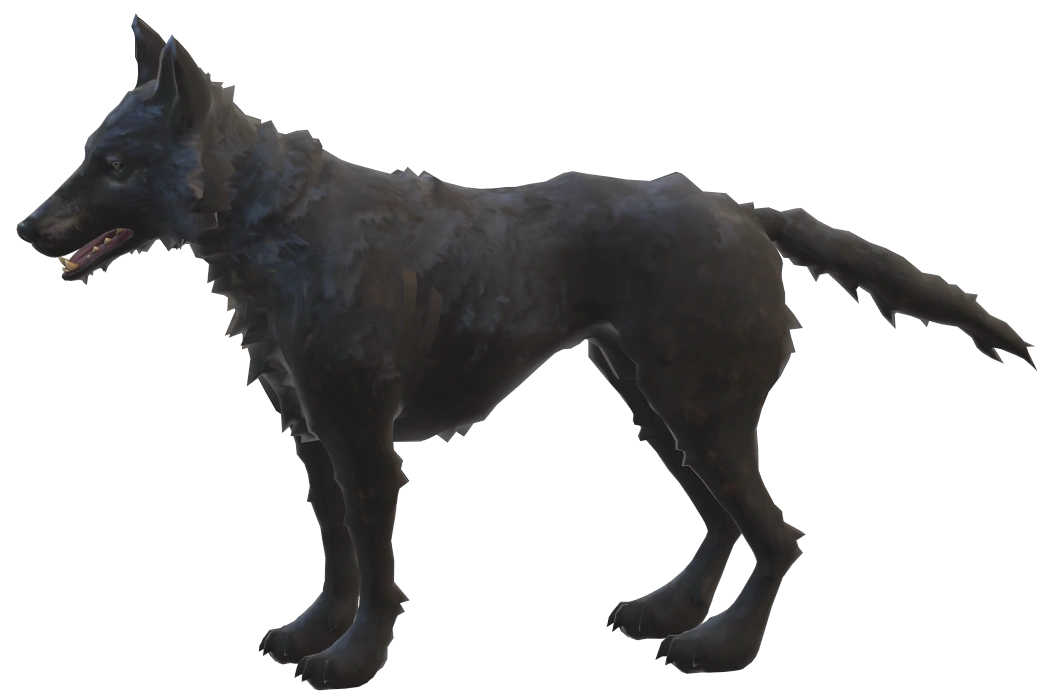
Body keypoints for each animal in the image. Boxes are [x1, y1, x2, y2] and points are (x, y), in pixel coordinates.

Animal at [16, 16, 1035, 689]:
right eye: (92, 152)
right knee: (724, 523)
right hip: (659, 411)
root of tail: (745, 215)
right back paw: (669, 613)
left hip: (698, 413)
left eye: (117, 165)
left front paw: (355, 660)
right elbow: (337, 559)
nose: (27, 227)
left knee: (778, 535)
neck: (273, 222)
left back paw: (719, 648)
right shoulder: (313, 440)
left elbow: (377, 572)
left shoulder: (364, 446)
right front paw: (315, 638)